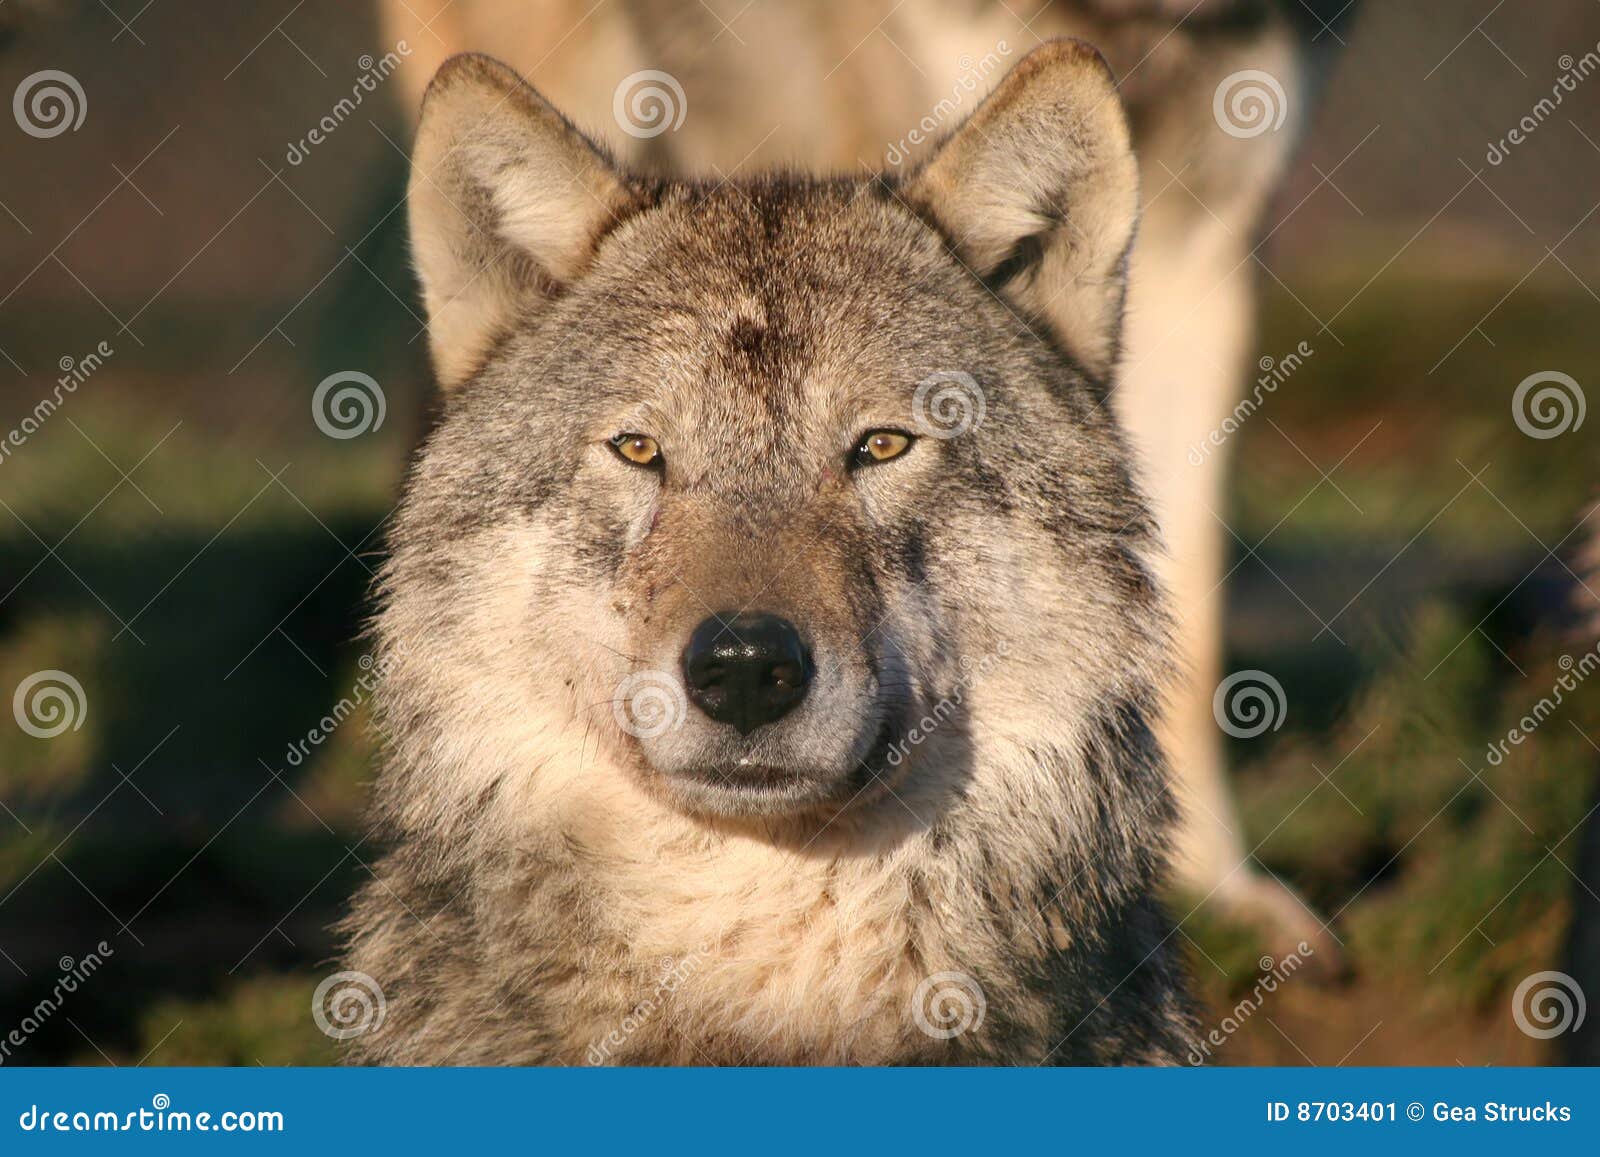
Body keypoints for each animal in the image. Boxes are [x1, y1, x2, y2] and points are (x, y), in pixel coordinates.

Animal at [375, 0, 1355, 970]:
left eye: (881, 446)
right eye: (640, 450)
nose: (743, 669)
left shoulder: (1218, 222)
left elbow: (1193, 621)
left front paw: (1214, 891)